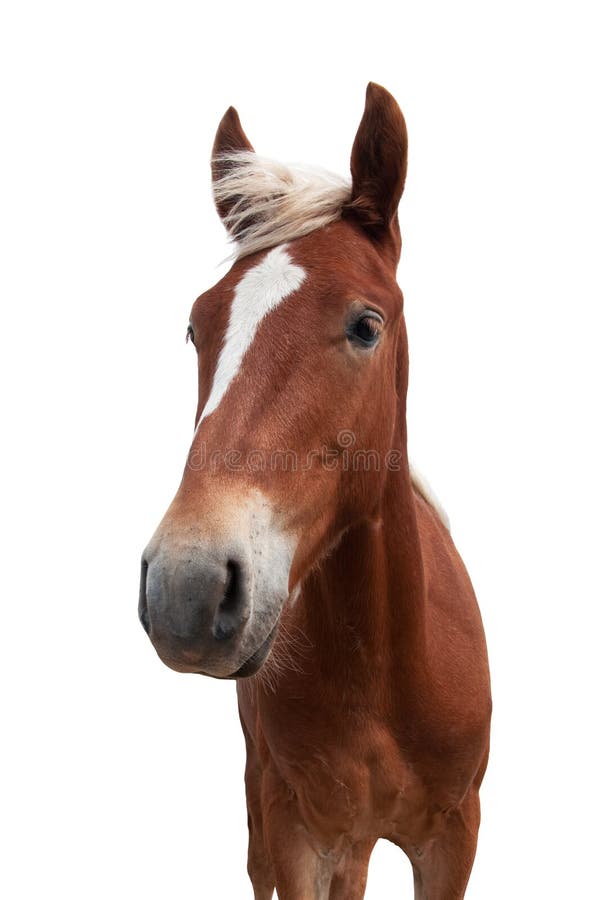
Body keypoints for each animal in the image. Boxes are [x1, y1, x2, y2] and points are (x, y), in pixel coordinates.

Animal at [139, 83, 491, 899]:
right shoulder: (302, 835)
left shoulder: (453, 837)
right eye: (196, 328)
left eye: (366, 325)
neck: (388, 673)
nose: (187, 587)